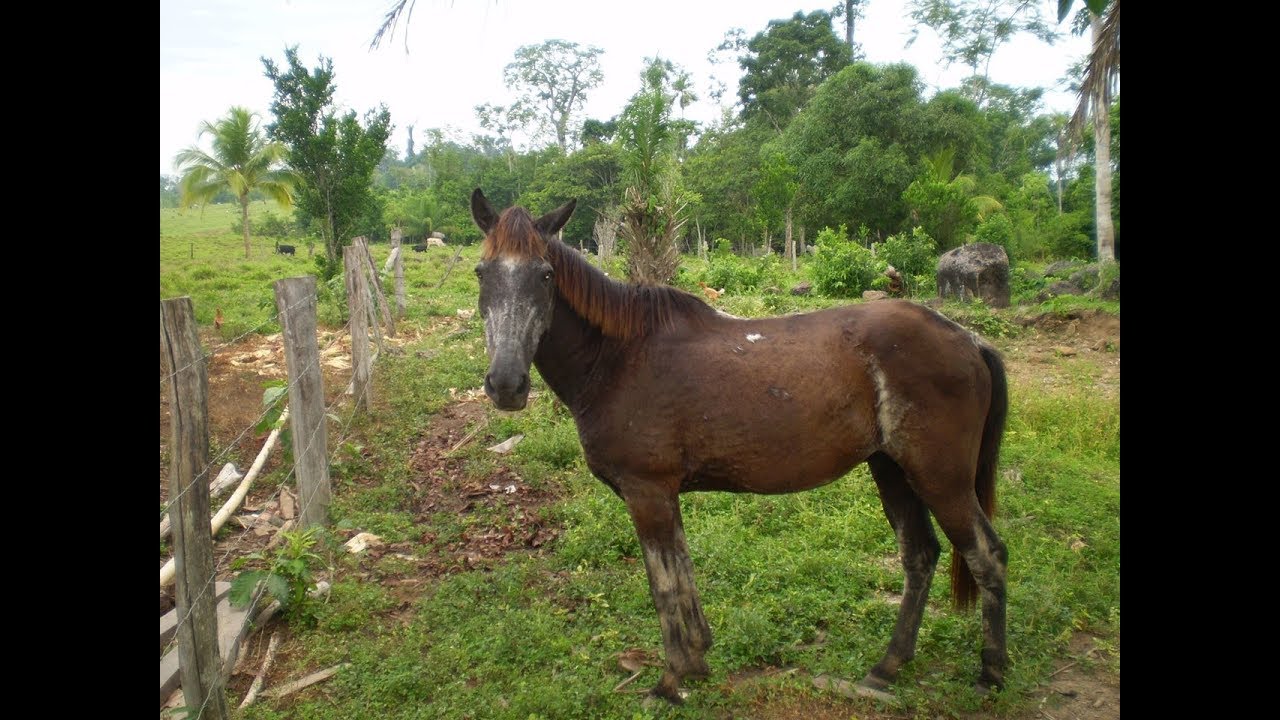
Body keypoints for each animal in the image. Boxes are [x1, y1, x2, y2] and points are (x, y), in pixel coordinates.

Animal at [468, 189, 1009, 704]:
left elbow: (664, 585)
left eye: (544, 275)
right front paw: (697, 661)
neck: (619, 356)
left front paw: (671, 680)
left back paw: (991, 674)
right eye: (481, 271)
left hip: (941, 479)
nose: (506, 384)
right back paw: (887, 667)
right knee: (919, 555)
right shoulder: (664, 496)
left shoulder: (647, 493)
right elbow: (682, 575)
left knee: (988, 556)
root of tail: (968, 340)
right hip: (892, 470)